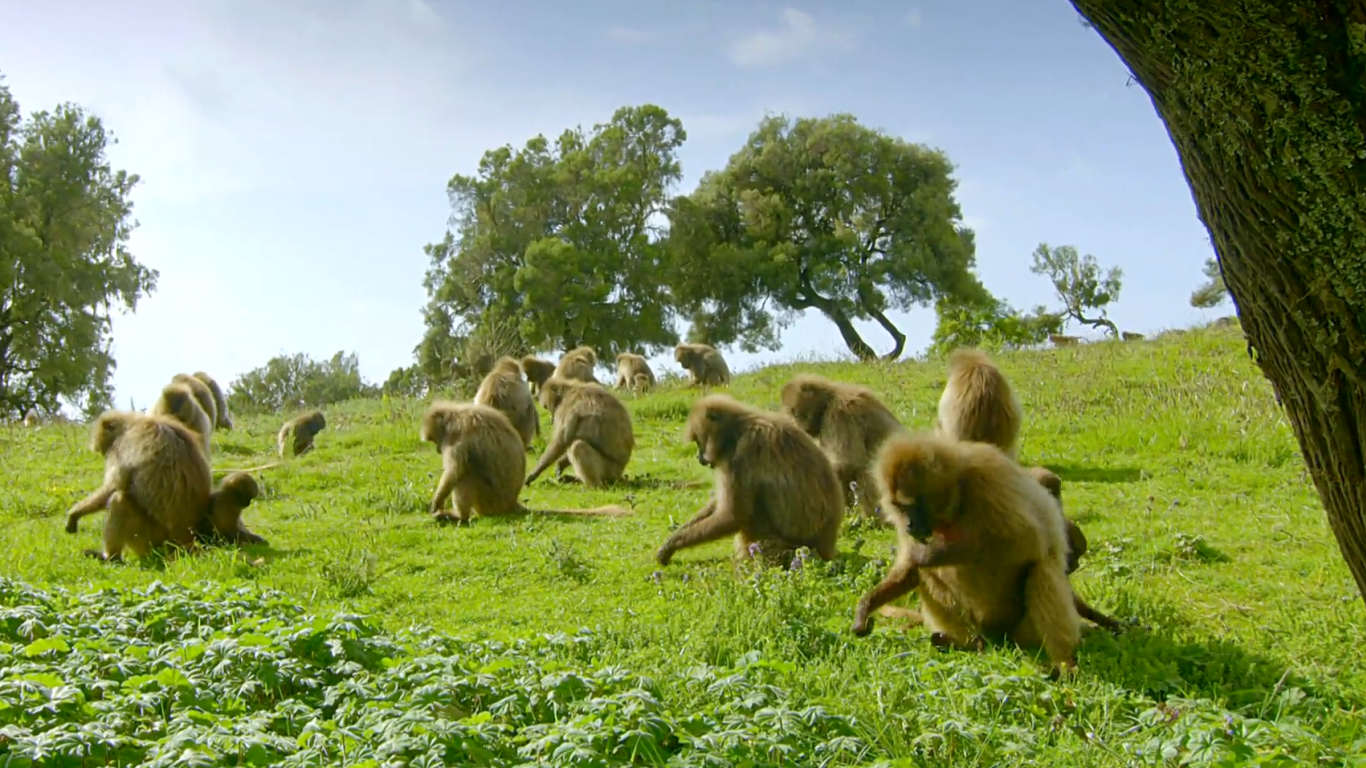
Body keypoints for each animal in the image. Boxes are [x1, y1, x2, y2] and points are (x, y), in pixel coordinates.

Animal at [417, 401, 631, 519]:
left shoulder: (457, 435)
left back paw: (459, 517)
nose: (437, 449)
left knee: (466, 475)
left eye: (435, 440)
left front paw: (437, 503)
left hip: (490, 501)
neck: (455, 414)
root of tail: (511, 502)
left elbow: (454, 471)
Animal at [652, 393, 841, 568]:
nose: (699, 457)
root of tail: (826, 547)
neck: (737, 428)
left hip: (788, 547)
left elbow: (733, 515)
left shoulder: (742, 452)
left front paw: (670, 546)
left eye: (699, 442)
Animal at [781, 374, 907, 522]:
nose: (798, 423)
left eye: (797, 414)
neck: (829, 400)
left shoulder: (841, 411)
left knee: (863, 471)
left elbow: (846, 464)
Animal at [846, 434, 1081, 672]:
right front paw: (866, 607)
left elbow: (1028, 541)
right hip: (975, 623)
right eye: (900, 508)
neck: (958, 497)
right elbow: (910, 569)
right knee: (926, 575)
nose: (909, 526)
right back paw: (968, 644)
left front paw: (930, 554)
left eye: (909, 506)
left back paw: (1063, 661)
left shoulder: (986, 479)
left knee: (1040, 567)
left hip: (1022, 630)